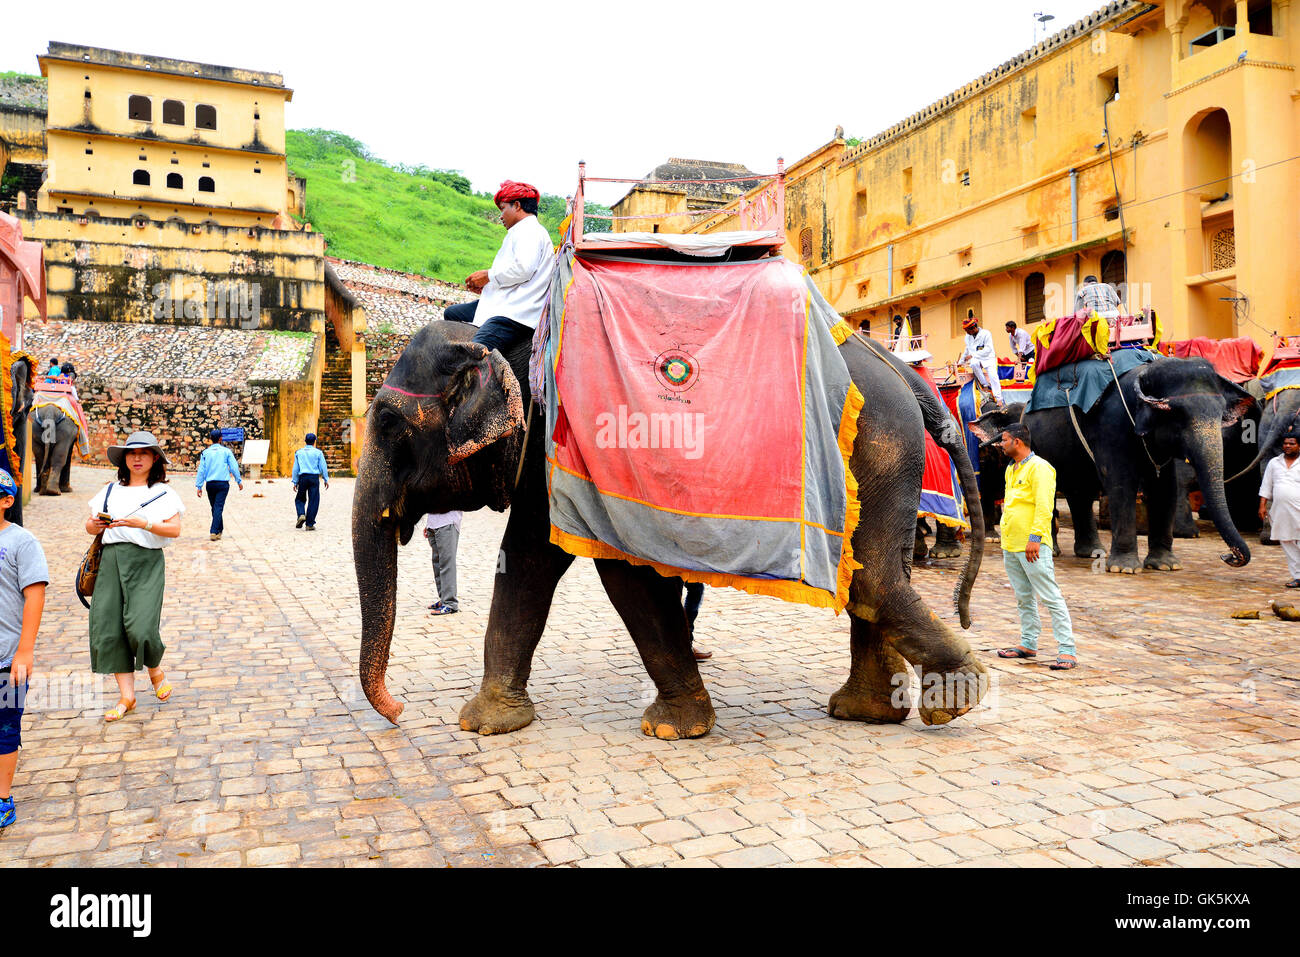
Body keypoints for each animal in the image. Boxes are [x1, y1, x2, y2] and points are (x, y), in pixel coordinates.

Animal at [354, 320, 990, 739]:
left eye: (386, 422)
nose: (400, 712)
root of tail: (900, 369)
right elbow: (527, 563)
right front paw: (487, 725)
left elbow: (618, 574)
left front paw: (672, 729)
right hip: (887, 460)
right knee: (872, 573)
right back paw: (866, 712)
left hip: (875, 444)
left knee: (869, 580)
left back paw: (954, 702)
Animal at [970, 356, 1254, 574]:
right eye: (1178, 414)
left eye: (1220, 413)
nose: (1228, 557)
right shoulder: (1111, 423)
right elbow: (1120, 481)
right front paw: (1125, 569)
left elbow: (1166, 486)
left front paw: (1166, 566)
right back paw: (1061, 551)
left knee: (1079, 491)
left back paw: (1091, 552)